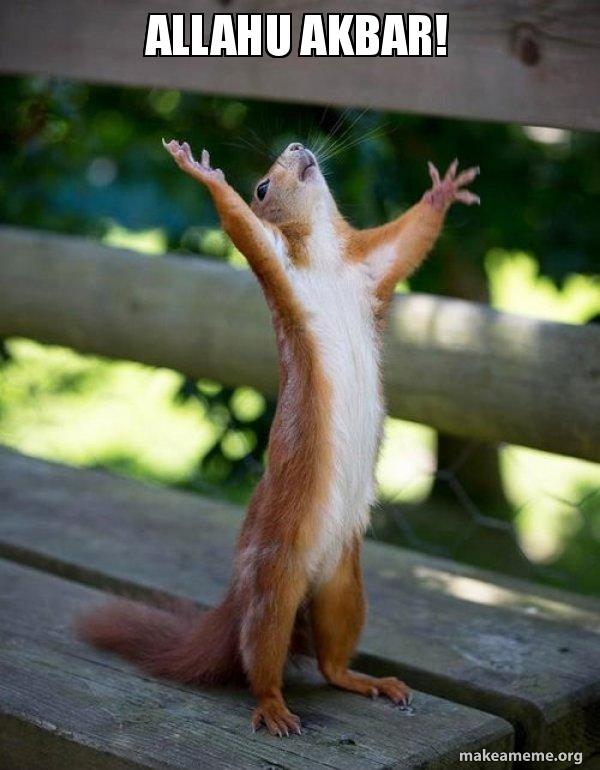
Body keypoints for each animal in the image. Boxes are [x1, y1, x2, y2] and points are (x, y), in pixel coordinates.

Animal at [78, 138, 479, 737]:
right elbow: (241, 227)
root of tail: (239, 596)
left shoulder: (371, 267)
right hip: (274, 583)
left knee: (332, 660)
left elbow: (408, 241)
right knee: (260, 657)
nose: (296, 146)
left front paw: (443, 191)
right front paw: (204, 174)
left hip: (344, 586)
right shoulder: (277, 265)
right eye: (262, 186)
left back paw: (367, 681)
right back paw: (273, 707)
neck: (327, 258)